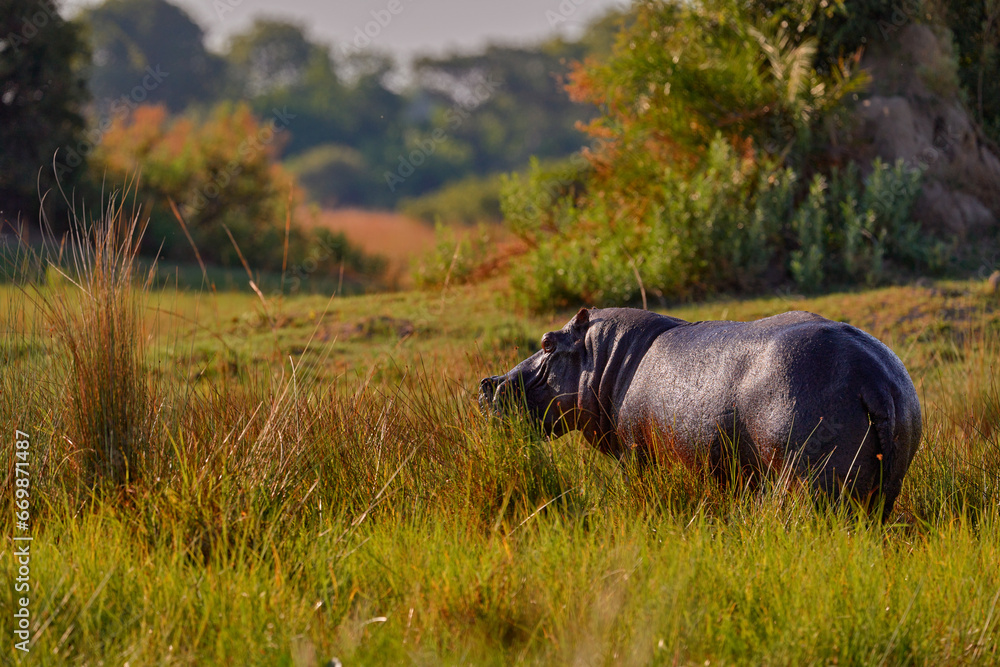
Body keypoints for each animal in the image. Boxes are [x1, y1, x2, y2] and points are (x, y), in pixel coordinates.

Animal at [479, 307, 922, 519]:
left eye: (547, 342)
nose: (488, 383)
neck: (606, 358)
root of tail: (874, 377)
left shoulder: (635, 454)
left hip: (808, 481)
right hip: (888, 483)